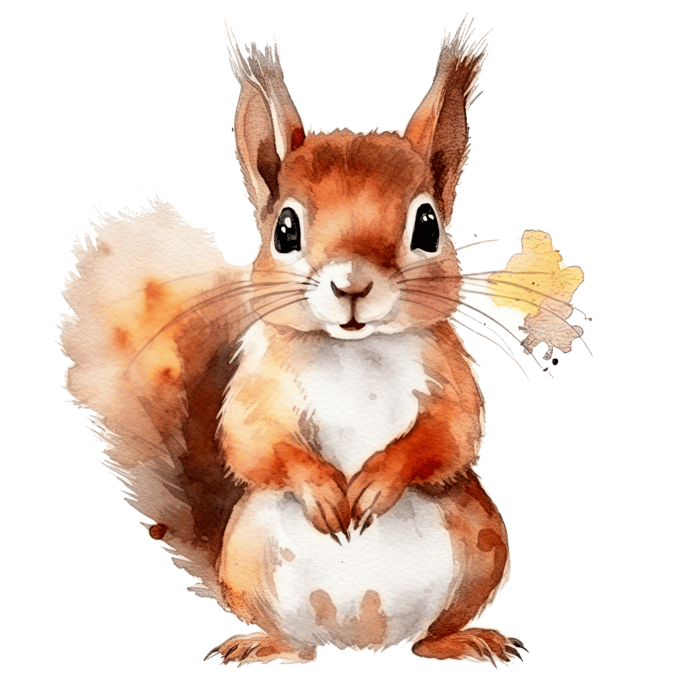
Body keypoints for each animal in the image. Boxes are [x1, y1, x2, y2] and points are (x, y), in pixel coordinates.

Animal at [59, 14, 589, 667]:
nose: (352, 285)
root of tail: (362, 637)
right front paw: (325, 491)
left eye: (428, 225)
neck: (353, 351)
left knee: (430, 637)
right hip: (250, 558)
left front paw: (377, 483)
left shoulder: (448, 378)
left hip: (482, 545)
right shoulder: (260, 387)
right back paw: (264, 646)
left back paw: (466, 640)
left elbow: (450, 434)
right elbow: (255, 441)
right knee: (296, 642)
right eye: (285, 230)